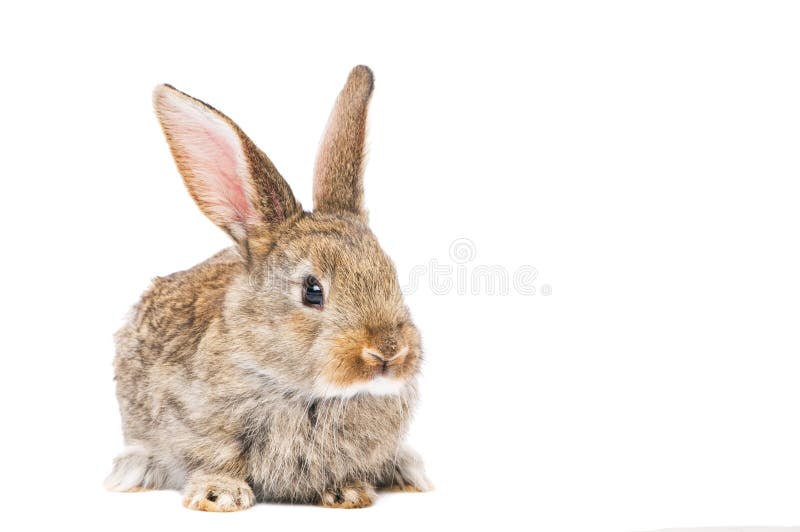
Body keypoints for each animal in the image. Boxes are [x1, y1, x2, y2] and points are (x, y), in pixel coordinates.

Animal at [104, 65, 431, 511]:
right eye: (312, 290)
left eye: (390, 273)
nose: (388, 352)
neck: (305, 391)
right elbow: (213, 461)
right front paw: (220, 495)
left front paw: (348, 491)